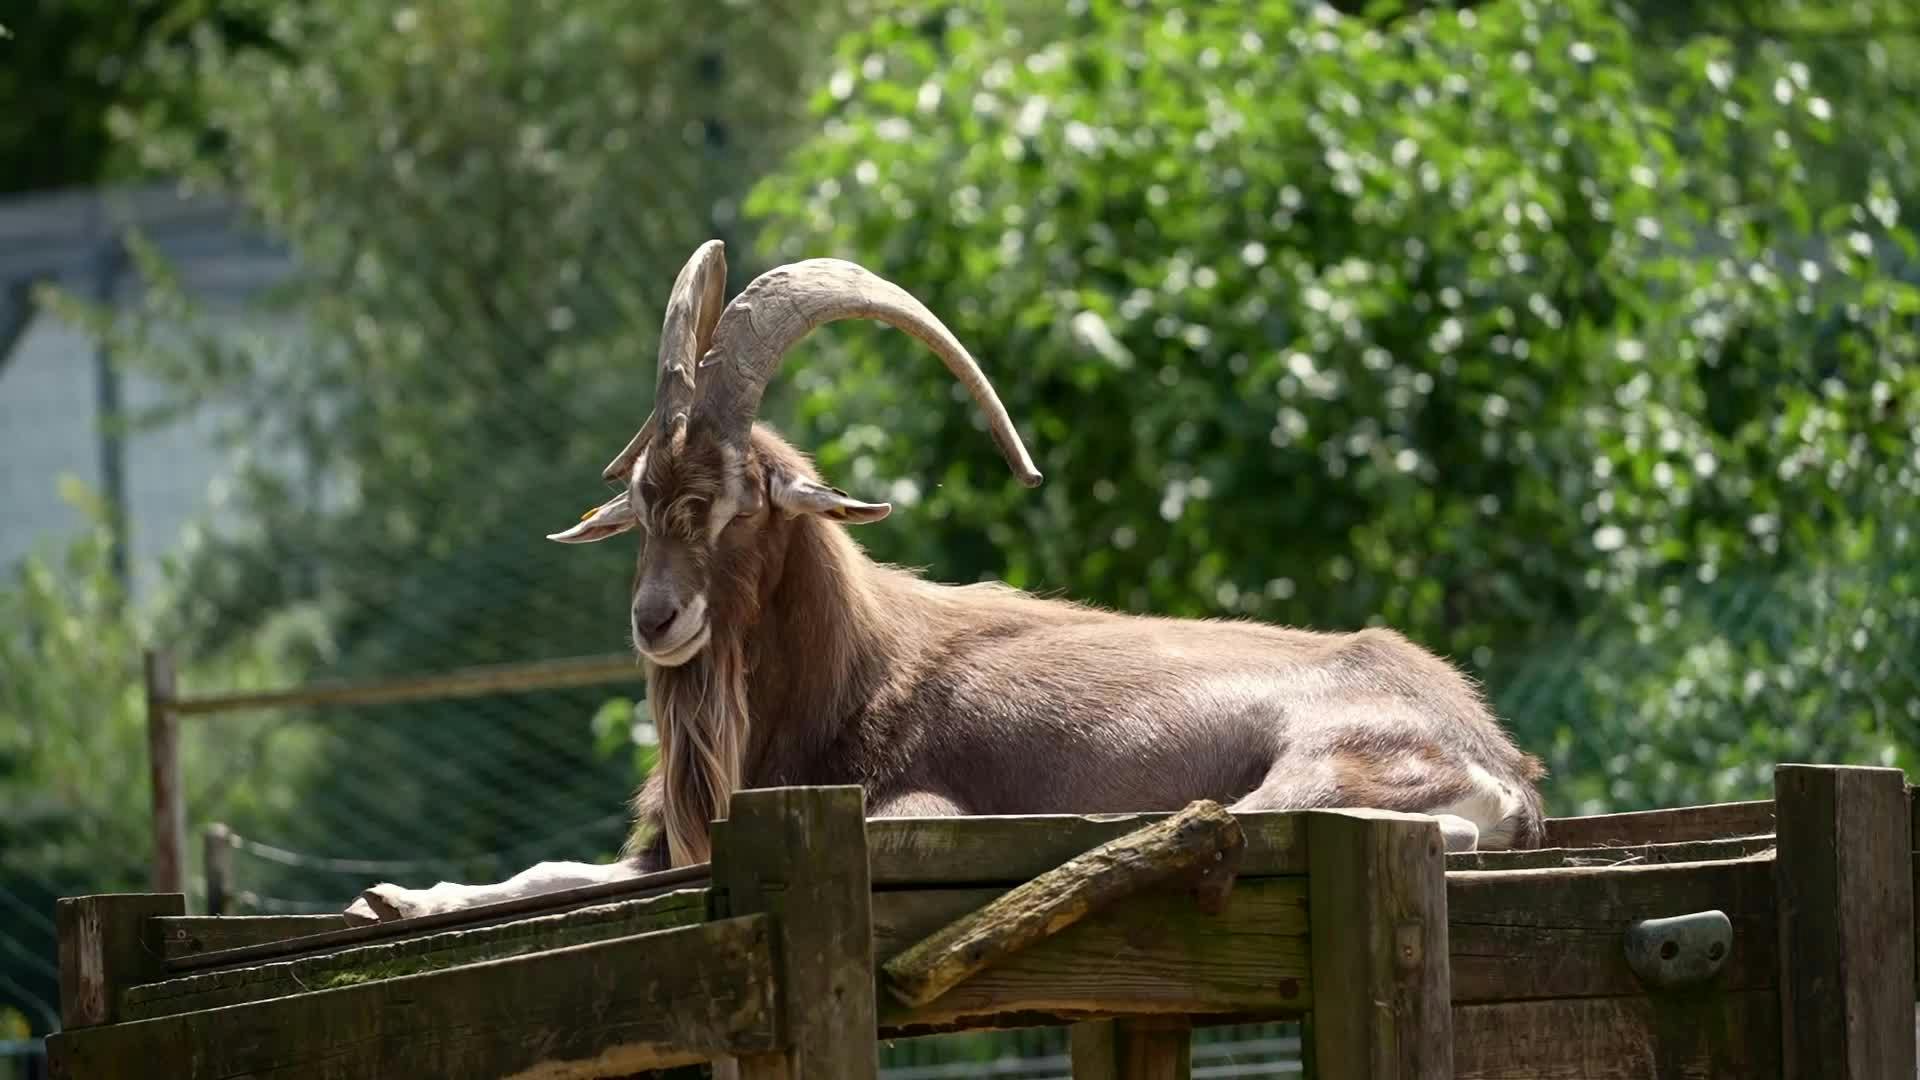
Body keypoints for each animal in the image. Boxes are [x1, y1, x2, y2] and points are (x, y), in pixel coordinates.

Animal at [342, 239, 1547, 924]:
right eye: (640, 498)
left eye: (742, 494)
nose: (657, 617)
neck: (856, 668)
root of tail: (1497, 758)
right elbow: (554, 871)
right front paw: (393, 895)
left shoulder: (913, 806)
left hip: (1305, 779)